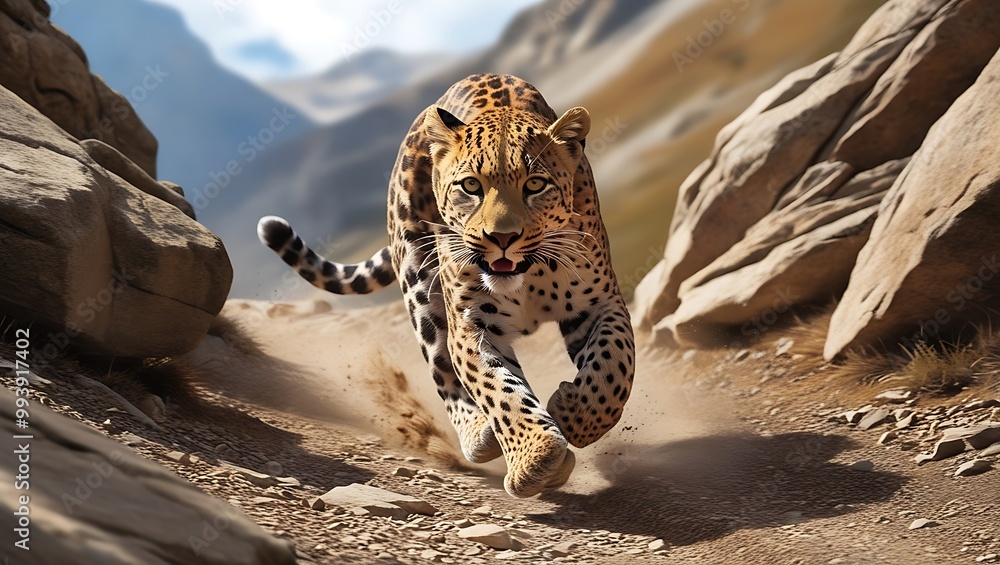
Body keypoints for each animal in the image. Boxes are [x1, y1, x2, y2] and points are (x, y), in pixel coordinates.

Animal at [257, 73, 635, 497]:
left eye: (536, 184)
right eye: (470, 186)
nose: (501, 237)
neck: (528, 275)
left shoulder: (599, 303)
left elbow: (614, 368)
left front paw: (573, 412)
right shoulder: (472, 326)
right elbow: (499, 391)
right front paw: (535, 457)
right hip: (420, 285)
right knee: (442, 370)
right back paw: (478, 435)